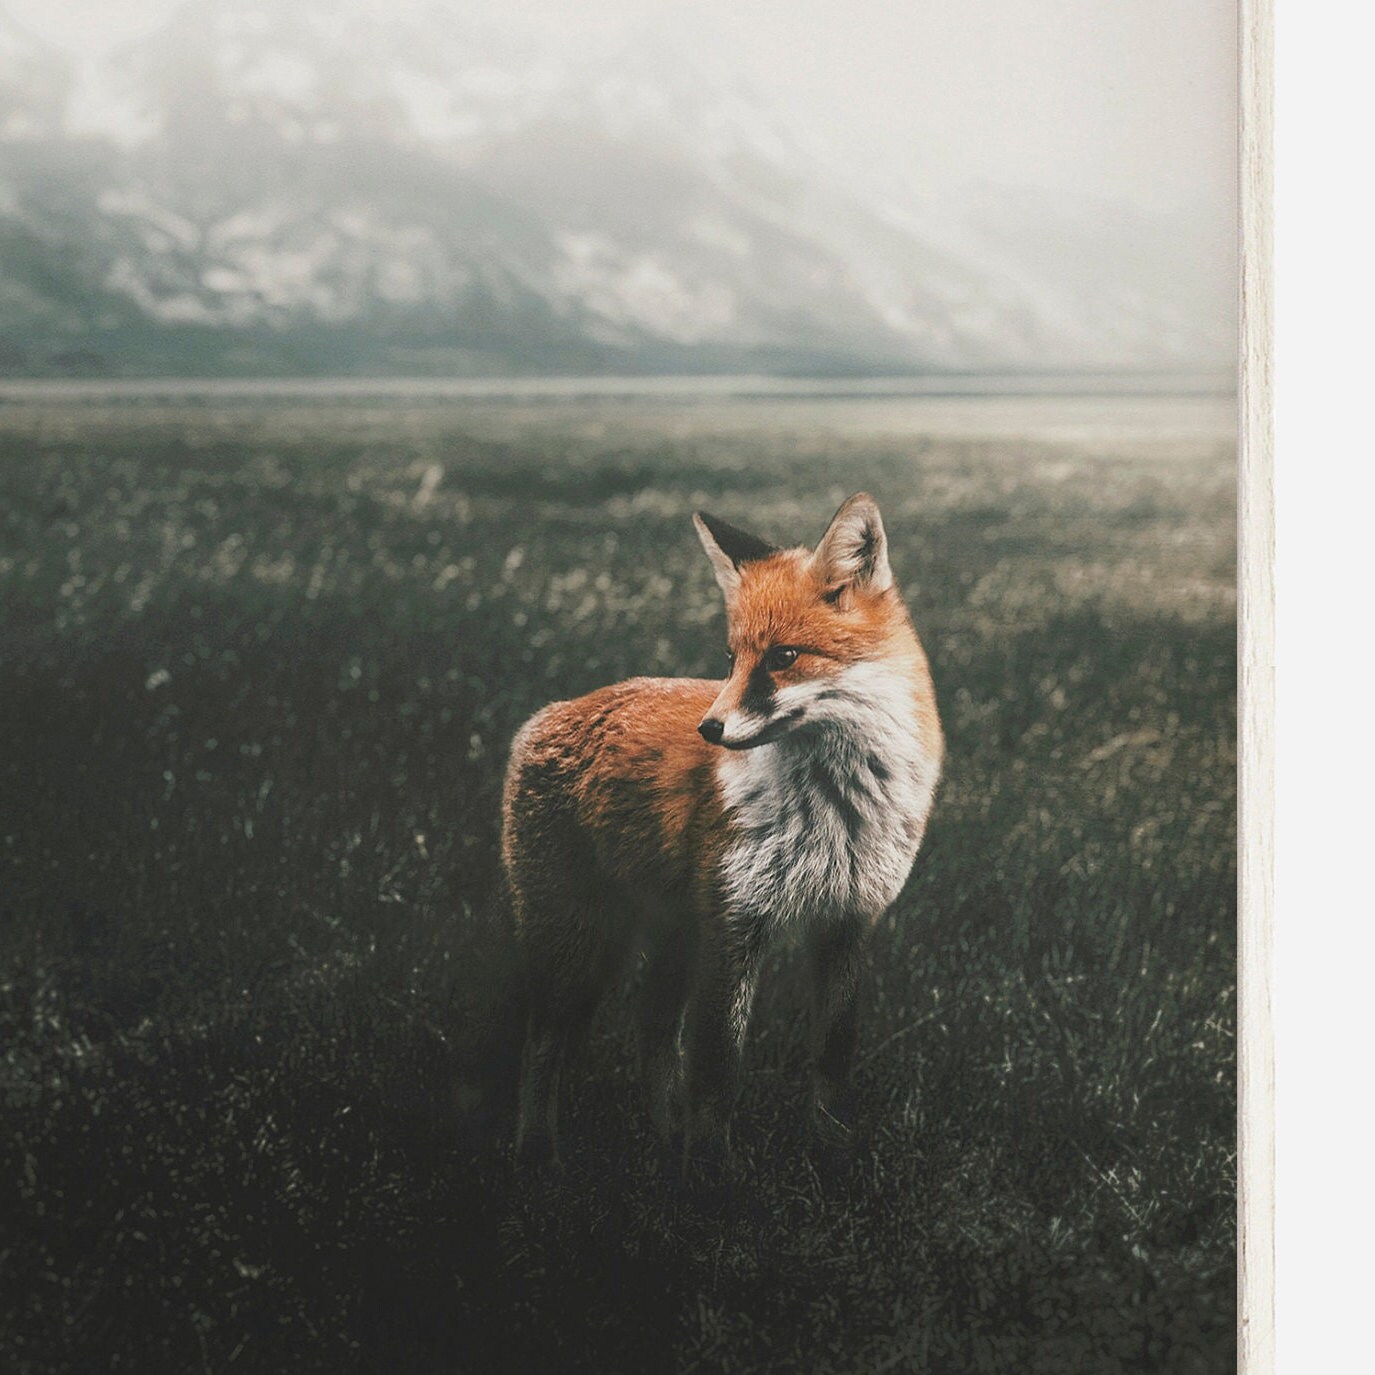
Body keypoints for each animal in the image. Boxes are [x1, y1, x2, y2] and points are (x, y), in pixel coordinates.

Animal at [502, 492, 943, 1170]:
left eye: (784, 657)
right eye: (731, 660)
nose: (709, 729)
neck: (832, 806)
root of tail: (546, 715)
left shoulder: (847, 919)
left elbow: (833, 1057)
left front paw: (832, 1156)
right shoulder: (736, 922)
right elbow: (715, 1070)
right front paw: (710, 1176)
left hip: (672, 934)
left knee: (652, 1027)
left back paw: (664, 1136)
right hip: (580, 941)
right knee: (542, 1042)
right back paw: (537, 1154)